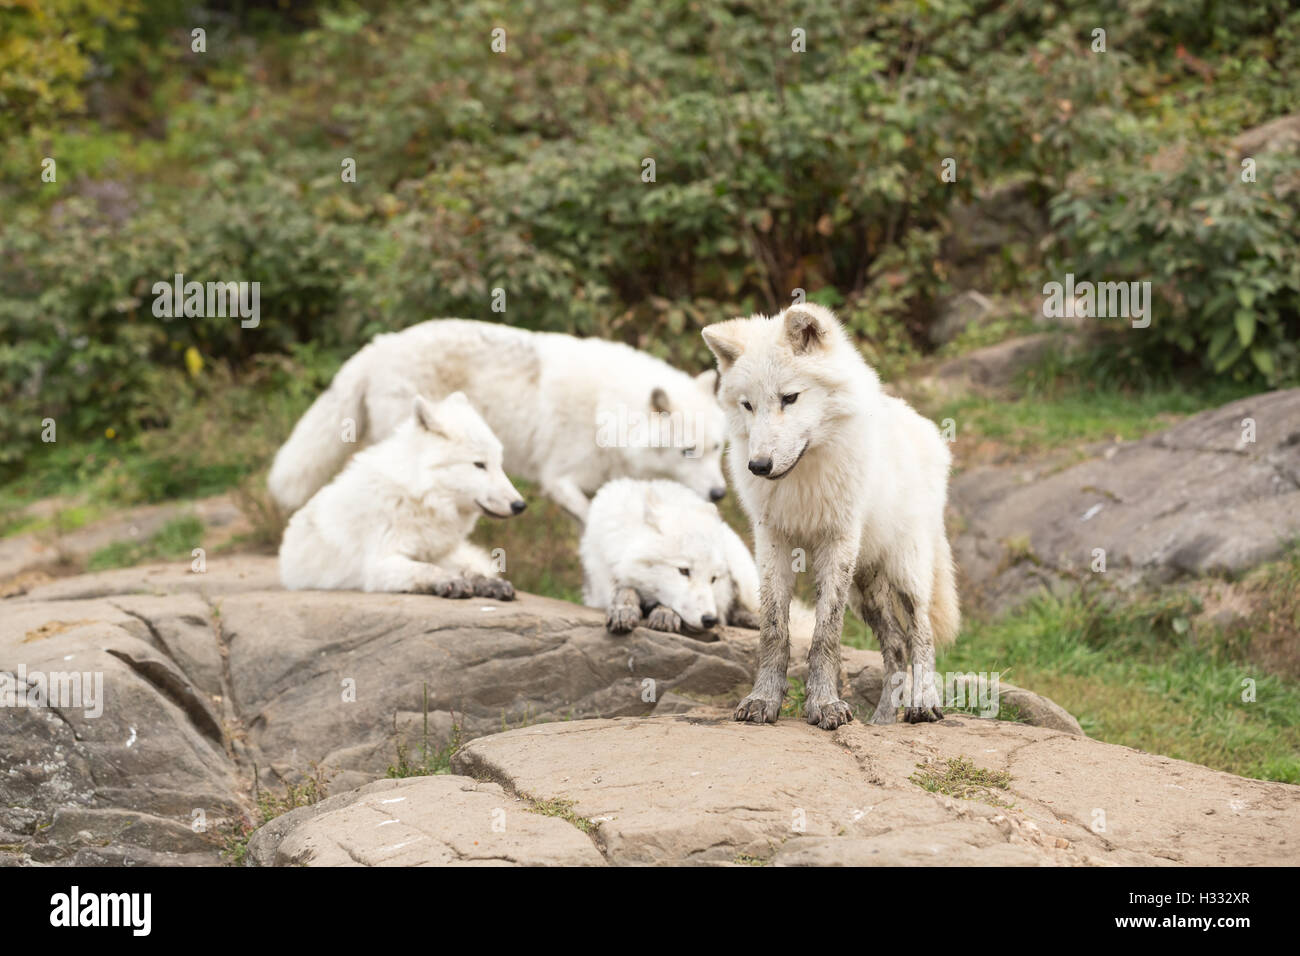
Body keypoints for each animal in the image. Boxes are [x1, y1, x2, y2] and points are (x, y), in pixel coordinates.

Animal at [268, 319, 727, 522]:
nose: (721, 493)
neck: (610, 411)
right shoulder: (559, 480)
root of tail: (378, 345)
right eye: (687, 451)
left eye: (717, 450)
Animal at [279, 391, 524, 598]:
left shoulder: (439, 553)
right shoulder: (379, 564)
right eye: (479, 465)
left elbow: (468, 570)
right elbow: (425, 569)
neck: (419, 496)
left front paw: (487, 583)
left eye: (499, 464)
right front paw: (449, 582)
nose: (520, 505)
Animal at [702, 303, 959, 729]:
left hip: (906, 572)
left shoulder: (838, 542)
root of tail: (923, 426)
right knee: (895, 646)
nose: (759, 465)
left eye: (789, 397)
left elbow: (826, 634)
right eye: (747, 405)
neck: (803, 477)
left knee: (920, 635)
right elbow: (773, 629)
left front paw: (824, 704)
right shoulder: (772, 541)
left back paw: (923, 704)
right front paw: (763, 699)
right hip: (865, 591)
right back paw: (883, 721)